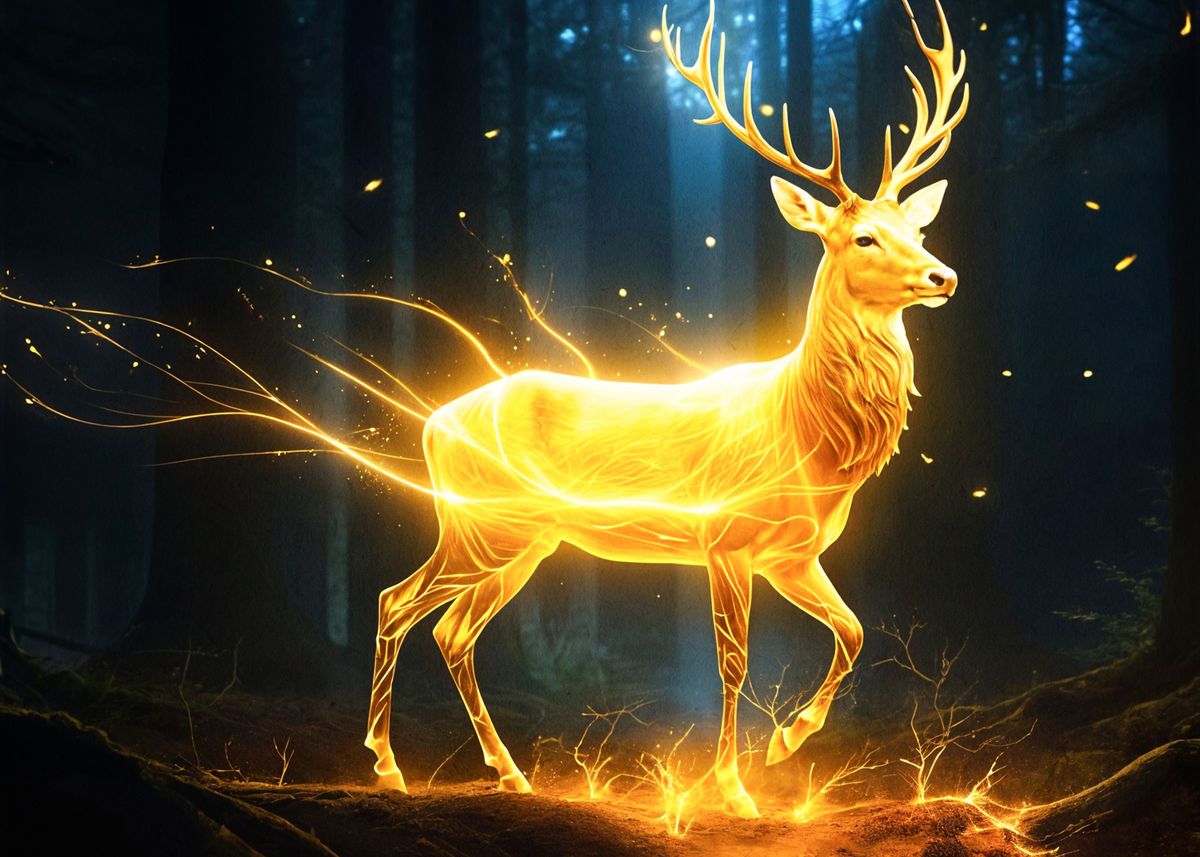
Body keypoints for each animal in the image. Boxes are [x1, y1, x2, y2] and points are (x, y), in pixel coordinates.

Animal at [364, 0, 967, 818]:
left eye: (919, 228)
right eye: (865, 236)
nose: (944, 275)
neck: (811, 438)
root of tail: (430, 423)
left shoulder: (795, 552)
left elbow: (855, 630)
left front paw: (786, 742)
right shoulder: (724, 534)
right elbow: (733, 661)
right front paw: (734, 789)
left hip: (524, 538)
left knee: (453, 631)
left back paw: (511, 772)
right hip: (481, 522)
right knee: (397, 603)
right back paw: (387, 766)